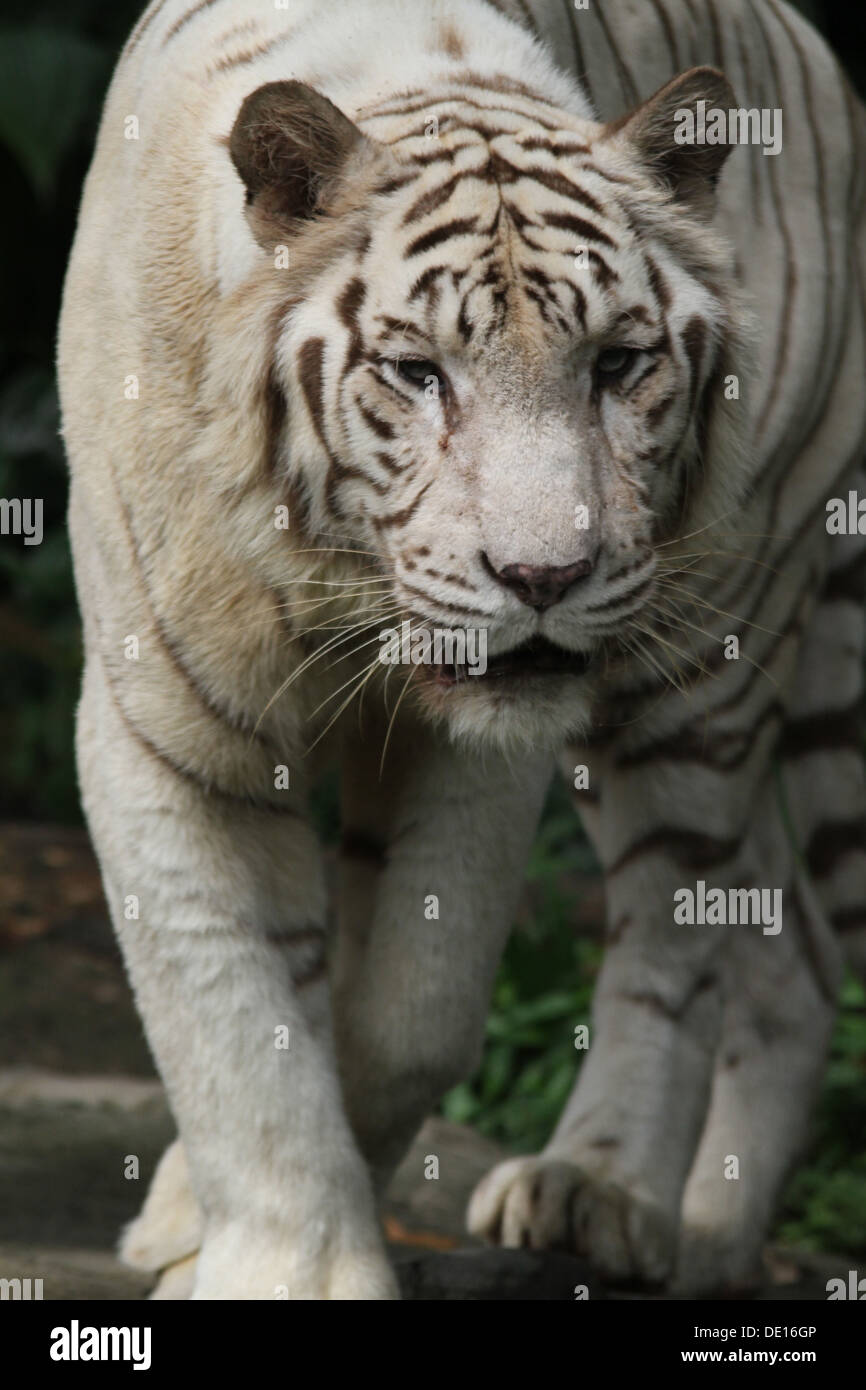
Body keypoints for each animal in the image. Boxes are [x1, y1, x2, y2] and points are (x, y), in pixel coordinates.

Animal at [57, 0, 866, 1299]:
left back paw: (601, 1191)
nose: (543, 578)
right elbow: (231, 1017)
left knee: (679, 924)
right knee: (783, 942)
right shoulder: (170, 733)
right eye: (415, 372)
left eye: (617, 363)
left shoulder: (478, 756)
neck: (342, 579)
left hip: (701, 646)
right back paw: (708, 1232)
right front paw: (282, 1261)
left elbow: (407, 1016)